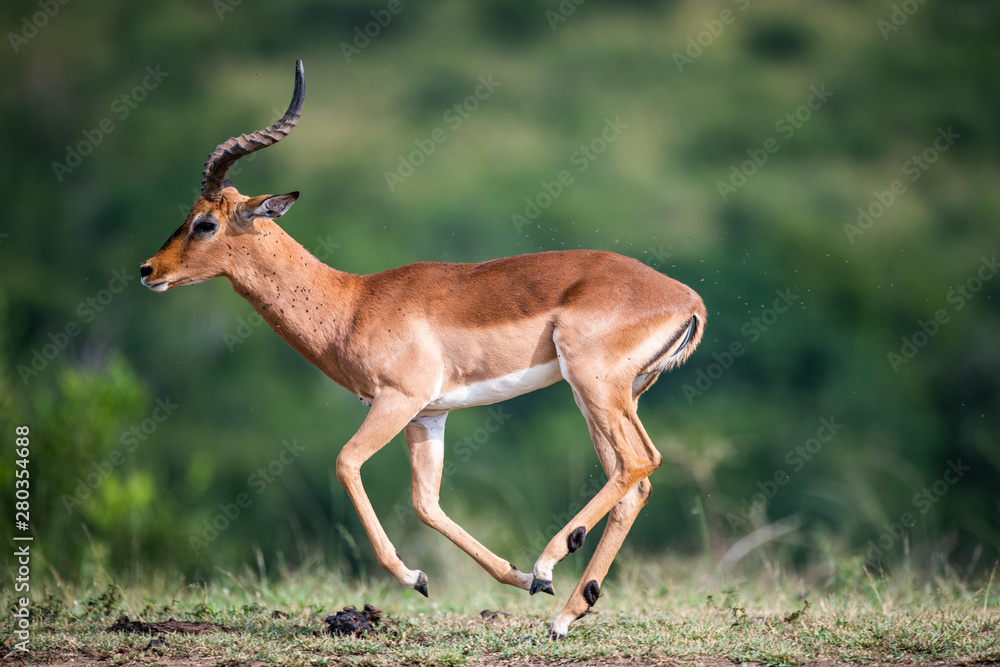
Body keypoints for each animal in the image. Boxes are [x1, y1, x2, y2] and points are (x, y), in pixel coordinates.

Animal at [140, 60, 705, 639]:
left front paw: (418, 577)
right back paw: (565, 608)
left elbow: (346, 463)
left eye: (205, 222)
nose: (148, 270)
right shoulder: (427, 416)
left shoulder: (398, 400)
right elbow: (426, 503)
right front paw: (513, 577)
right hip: (606, 398)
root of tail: (688, 299)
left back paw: (552, 564)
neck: (353, 303)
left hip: (594, 386)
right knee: (633, 481)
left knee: (641, 460)